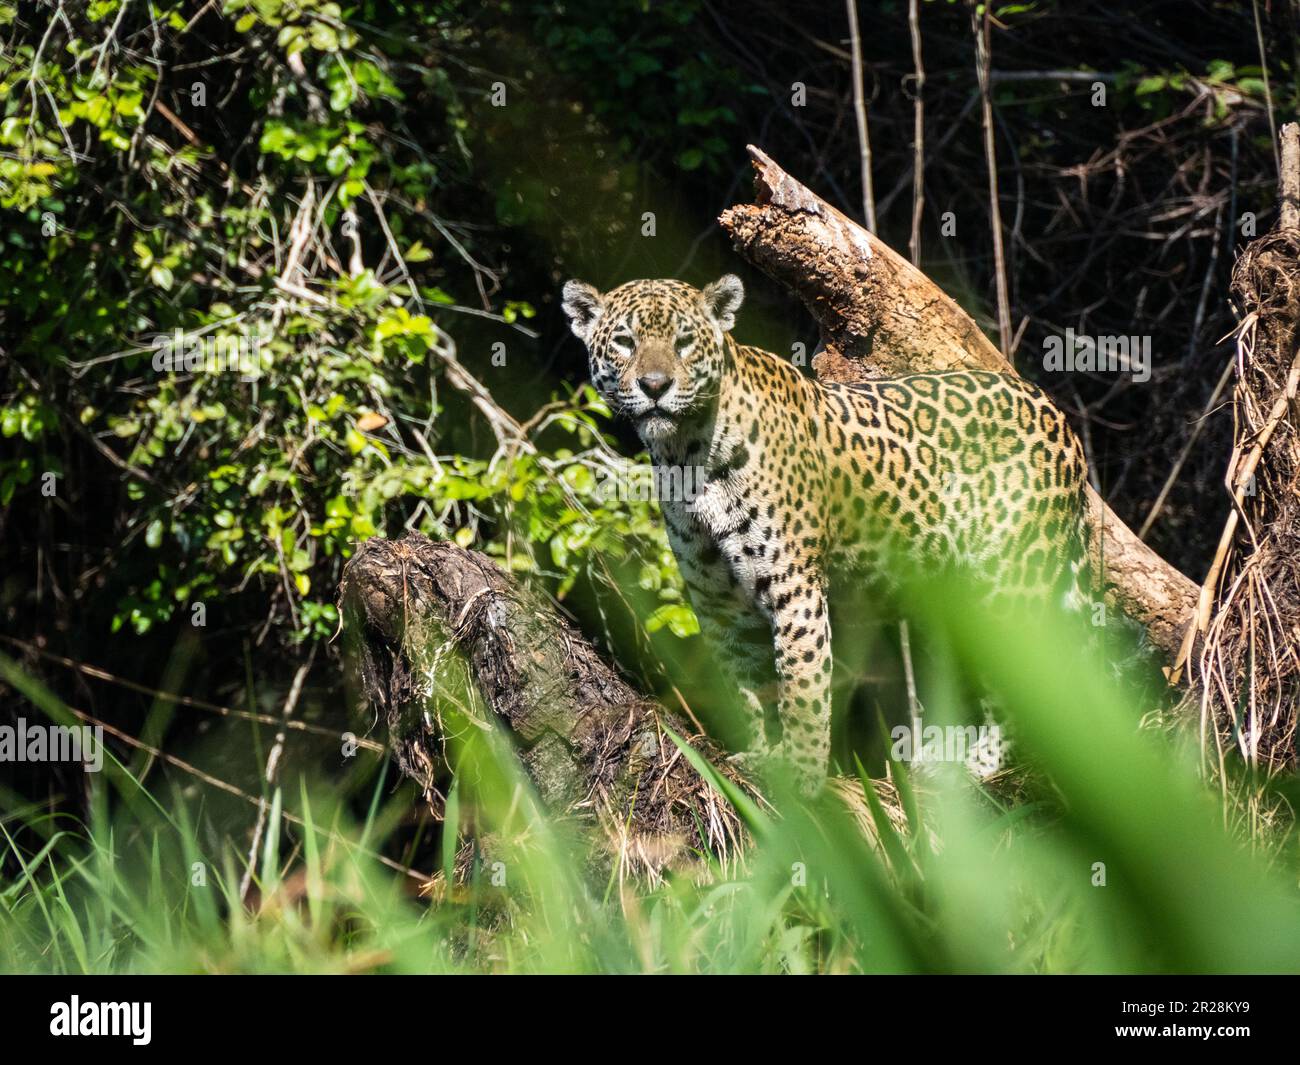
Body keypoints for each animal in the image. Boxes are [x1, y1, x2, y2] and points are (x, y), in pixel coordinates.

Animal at [562, 274, 1090, 793]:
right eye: (626, 342)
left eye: (684, 341)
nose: (655, 386)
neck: (687, 455)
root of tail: (1058, 415)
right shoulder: (718, 604)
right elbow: (747, 689)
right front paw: (761, 755)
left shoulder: (795, 587)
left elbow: (803, 691)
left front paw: (803, 778)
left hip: (1008, 581)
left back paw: (979, 765)